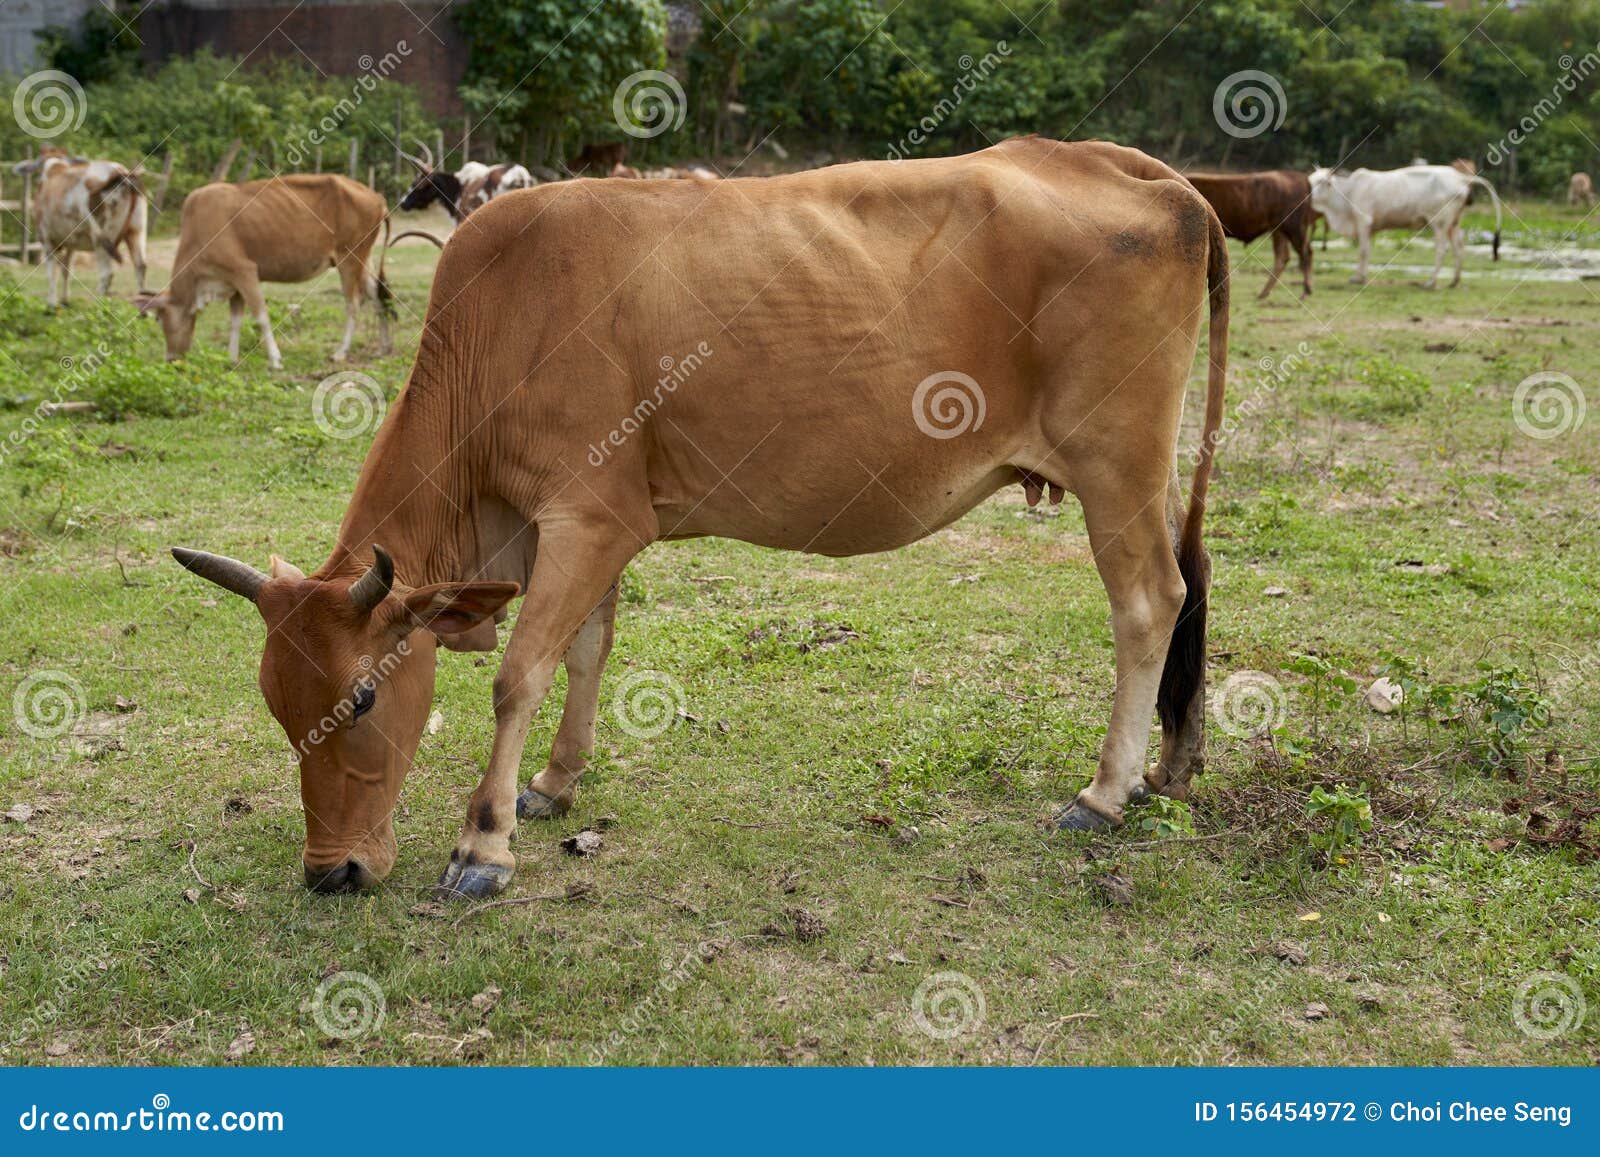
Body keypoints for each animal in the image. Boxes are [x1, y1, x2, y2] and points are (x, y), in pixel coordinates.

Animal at [11, 146, 148, 307]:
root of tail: (121, 170)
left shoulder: (46, 238)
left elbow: (51, 273)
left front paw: (51, 304)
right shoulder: (72, 241)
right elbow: (66, 270)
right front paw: (65, 300)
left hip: (101, 237)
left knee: (106, 274)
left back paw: (98, 305)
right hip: (136, 230)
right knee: (140, 266)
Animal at [136, 174, 391, 369]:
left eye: (159, 318)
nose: (171, 359)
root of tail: (376, 197)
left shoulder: (245, 272)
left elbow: (261, 316)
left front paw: (275, 359)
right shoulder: (235, 285)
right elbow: (235, 321)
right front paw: (231, 357)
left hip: (349, 260)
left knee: (353, 304)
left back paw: (340, 352)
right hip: (363, 260)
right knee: (377, 296)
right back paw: (383, 347)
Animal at [170, 137, 1229, 899]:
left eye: (362, 699)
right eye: (276, 703)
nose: (333, 871)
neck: (496, 330)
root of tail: (1137, 168)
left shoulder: (587, 519)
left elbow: (520, 673)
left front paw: (485, 839)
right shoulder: (576, 529)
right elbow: (585, 650)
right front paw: (554, 784)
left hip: (1117, 467)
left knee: (1151, 600)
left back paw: (1104, 792)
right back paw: (1169, 769)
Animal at [1185, 170, 1316, 298]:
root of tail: (1300, 178)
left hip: (1294, 228)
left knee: (1305, 253)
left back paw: (1306, 290)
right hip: (1279, 230)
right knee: (1283, 257)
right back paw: (1264, 293)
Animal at [1308, 163, 1502, 288]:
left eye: (1323, 183)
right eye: (1311, 181)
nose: (1309, 196)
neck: (1347, 192)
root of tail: (1460, 177)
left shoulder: (1363, 222)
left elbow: (1362, 251)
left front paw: (1358, 278)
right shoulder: (1370, 229)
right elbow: (1367, 251)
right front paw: (1361, 276)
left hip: (1440, 223)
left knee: (1442, 250)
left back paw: (1431, 282)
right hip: (1453, 224)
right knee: (1459, 249)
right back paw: (1454, 281)